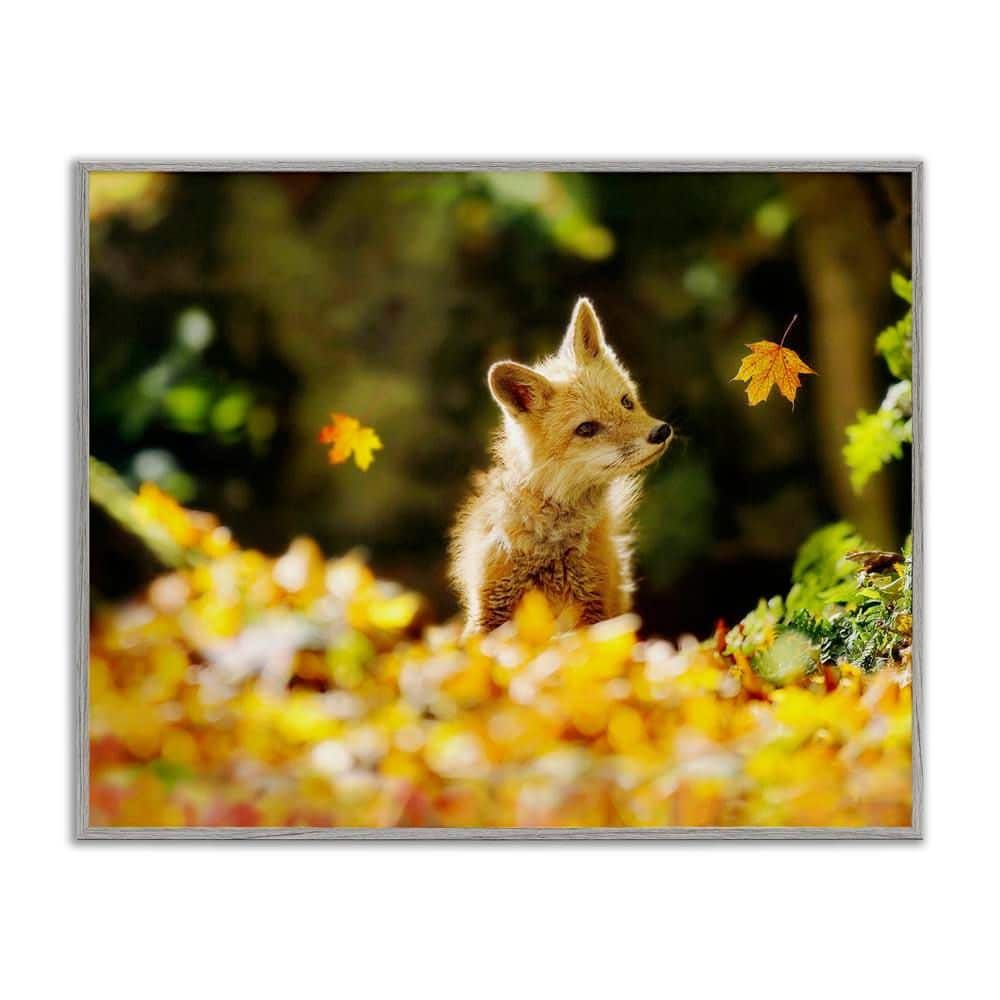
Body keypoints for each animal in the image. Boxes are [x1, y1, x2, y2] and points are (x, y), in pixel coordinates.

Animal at [449, 297, 673, 635]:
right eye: (586, 429)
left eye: (626, 402)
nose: (661, 432)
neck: (551, 547)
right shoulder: (489, 607)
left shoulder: (593, 608)